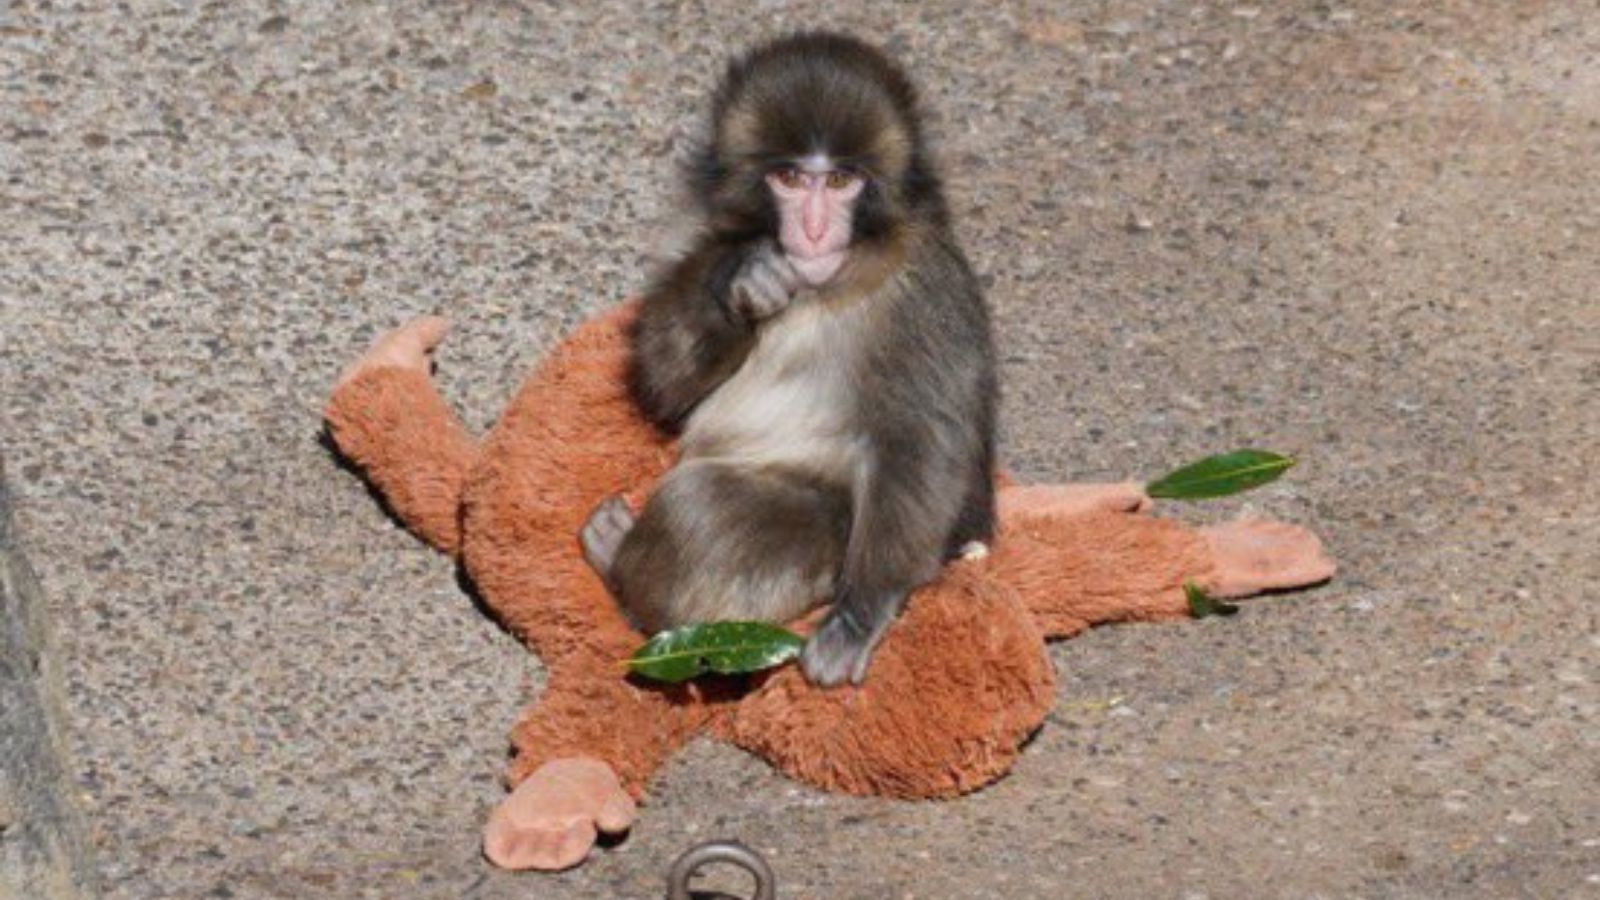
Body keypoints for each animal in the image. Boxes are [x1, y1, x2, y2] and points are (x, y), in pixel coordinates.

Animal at [580, 31, 997, 687]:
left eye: (842, 181)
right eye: (792, 178)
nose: (816, 230)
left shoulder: (927, 292)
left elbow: (920, 440)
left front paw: (859, 616)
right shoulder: (700, 231)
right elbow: (666, 381)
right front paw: (741, 280)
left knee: (704, 514)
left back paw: (618, 562)